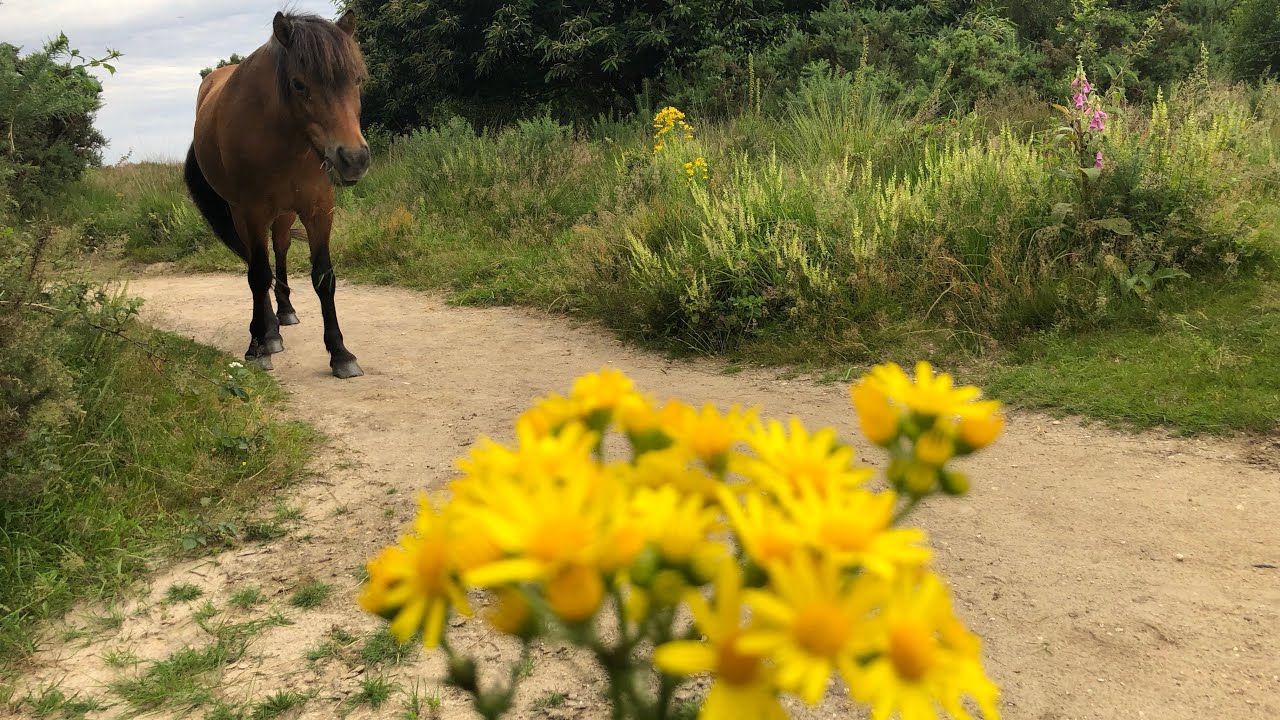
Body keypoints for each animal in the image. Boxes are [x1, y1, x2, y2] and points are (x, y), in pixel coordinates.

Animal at [183, 10, 369, 378]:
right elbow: (258, 275)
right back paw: (268, 329)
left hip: (285, 214)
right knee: (257, 265)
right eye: (299, 84)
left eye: (356, 80)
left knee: (280, 251)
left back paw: (284, 312)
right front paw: (259, 345)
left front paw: (340, 353)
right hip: (243, 215)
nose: (353, 159)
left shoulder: (319, 209)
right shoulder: (252, 212)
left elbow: (323, 277)